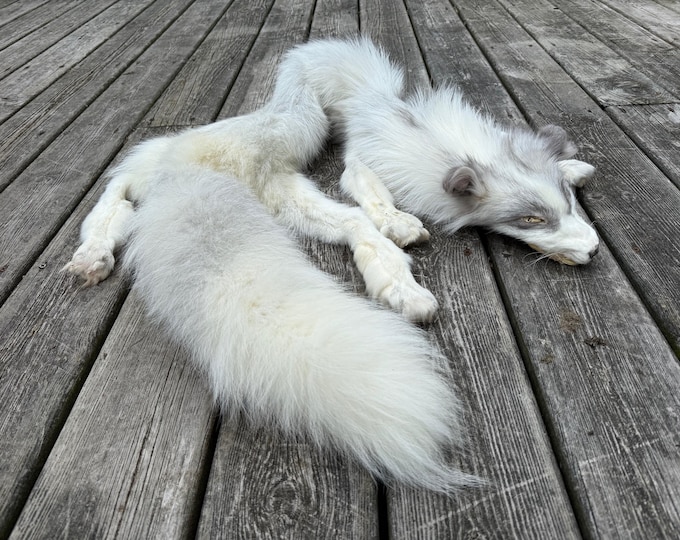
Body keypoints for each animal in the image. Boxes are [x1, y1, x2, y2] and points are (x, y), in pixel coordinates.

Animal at [280, 37, 600, 265]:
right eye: (532, 220)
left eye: (569, 201)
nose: (595, 250)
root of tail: (368, 97)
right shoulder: (360, 161)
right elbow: (368, 190)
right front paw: (400, 224)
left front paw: (570, 167)